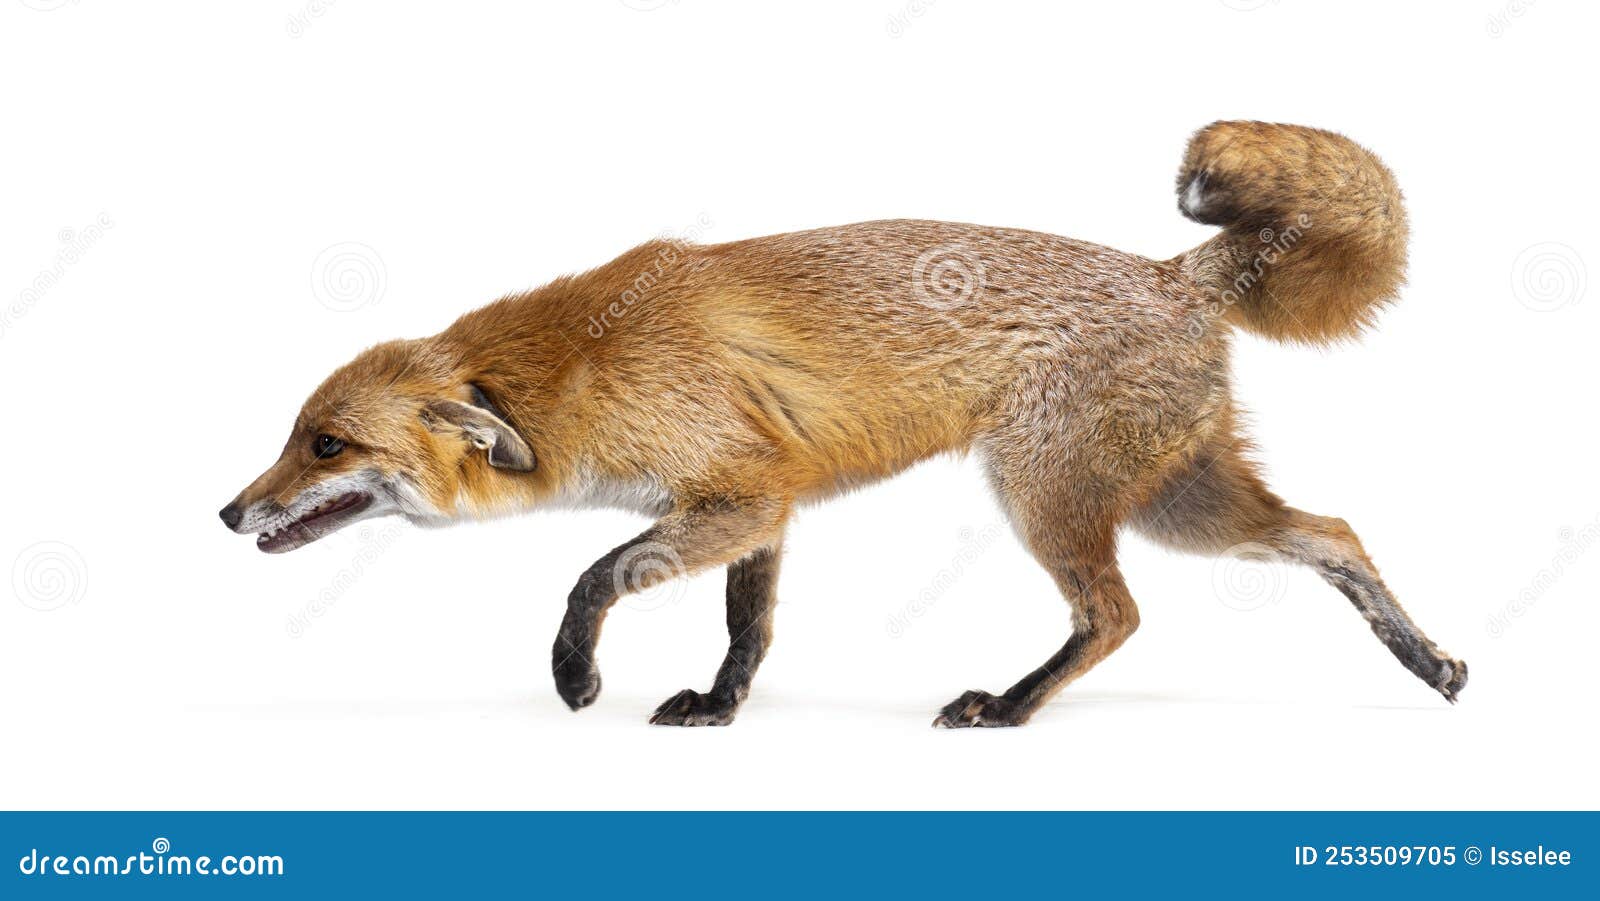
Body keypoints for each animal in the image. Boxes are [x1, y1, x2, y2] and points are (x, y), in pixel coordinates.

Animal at [220, 121, 1466, 727]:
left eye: (325, 445)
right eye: (293, 433)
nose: (227, 512)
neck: (576, 371)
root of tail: (1174, 272)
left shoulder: (735, 493)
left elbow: (591, 574)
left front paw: (575, 678)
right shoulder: (757, 507)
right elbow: (748, 630)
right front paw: (720, 710)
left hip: (1051, 497)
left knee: (1116, 615)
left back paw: (1010, 708)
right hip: (1179, 500)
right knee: (1332, 531)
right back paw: (1431, 663)